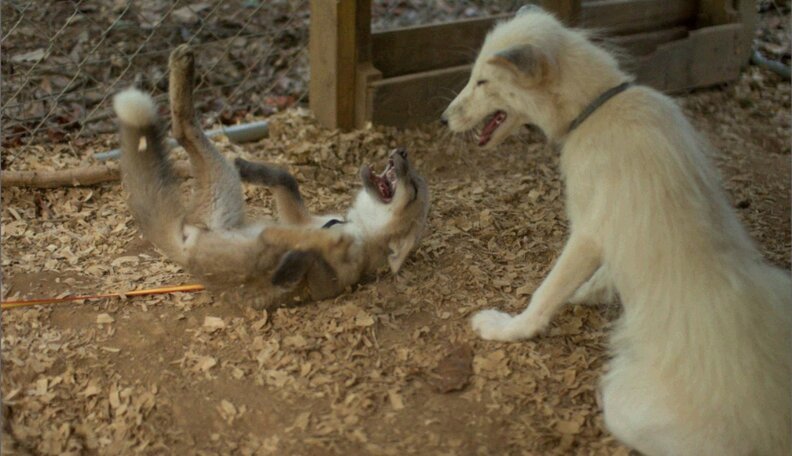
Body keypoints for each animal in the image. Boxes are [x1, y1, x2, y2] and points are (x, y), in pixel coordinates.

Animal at [113, 45, 429, 310]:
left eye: (413, 189)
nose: (403, 152)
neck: (360, 226)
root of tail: (187, 250)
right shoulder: (301, 219)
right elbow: (286, 178)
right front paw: (251, 168)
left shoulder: (327, 269)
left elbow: (313, 251)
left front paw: (289, 267)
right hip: (225, 180)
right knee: (184, 129)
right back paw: (183, 62)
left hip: (232, 201)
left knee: (184, 131)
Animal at [441, 6, 791, 456]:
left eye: (483, 81)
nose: (442, 119)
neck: (598, 105)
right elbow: (599, 276)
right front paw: (592, 293)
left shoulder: (588, 231)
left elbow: (545, 294)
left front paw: (510, 327)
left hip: (621, 401)